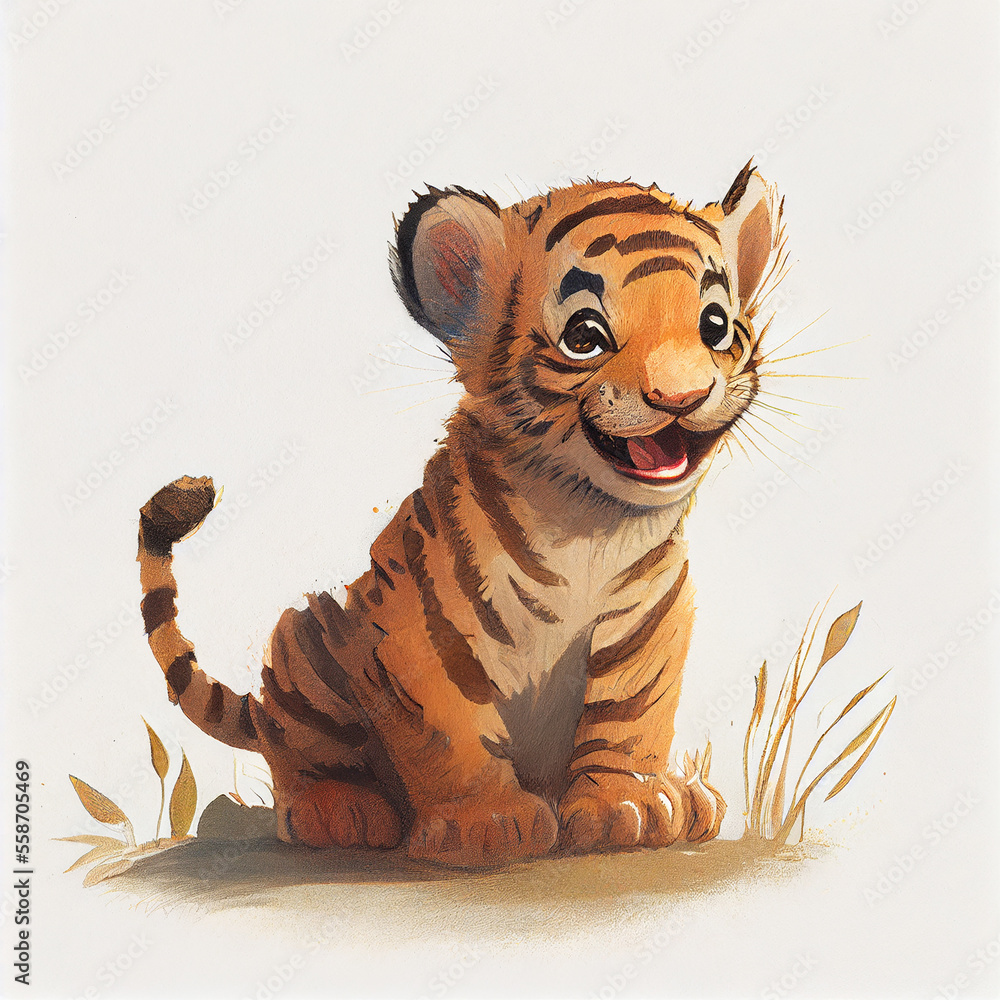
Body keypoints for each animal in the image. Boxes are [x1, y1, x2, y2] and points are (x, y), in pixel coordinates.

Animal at [137, 161, 785, 868]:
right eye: (584, 336)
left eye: (714, 325)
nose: (682, 396)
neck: (588, 521)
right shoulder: (420, 631)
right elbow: (451, 728)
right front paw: (488, 822)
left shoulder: (654, 615)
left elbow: (631, 714)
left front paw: (631, 804)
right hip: (305, 640)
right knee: (301, 752)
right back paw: (337, 811)